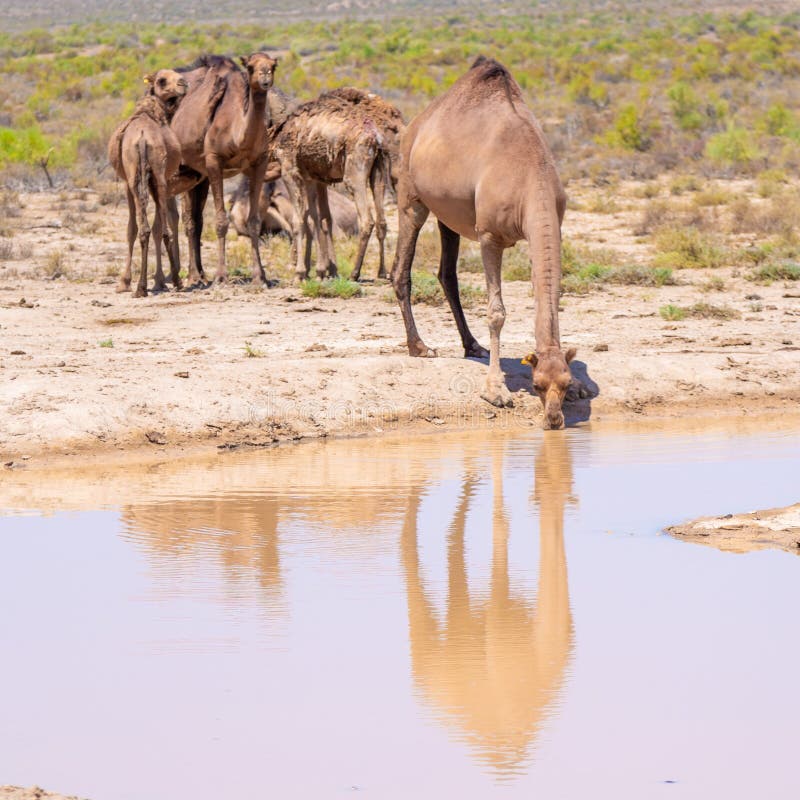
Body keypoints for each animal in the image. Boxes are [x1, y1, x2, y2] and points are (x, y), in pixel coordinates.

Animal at [108, 69, 188, 297]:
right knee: (159, 229)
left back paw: (142, 286)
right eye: (162, 80)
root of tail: (143, 139)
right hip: (155, 180)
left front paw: (125, 282)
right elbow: (157, 225)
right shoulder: (159, 181)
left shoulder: (130, 183)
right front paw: (159, 280)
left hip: (140, 180)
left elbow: (133, 228)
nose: (183, 83)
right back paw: (171, 281)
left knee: (145, 228)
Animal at [169, 53, 278, 285]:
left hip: (199, 176)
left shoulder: (259, 163)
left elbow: (254, 221)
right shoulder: (214, 161)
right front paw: (221, 275)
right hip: (183, 167)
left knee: (198, 220)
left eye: (273, 66)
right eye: (251, 66)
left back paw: (201, 274)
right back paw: (193, 276)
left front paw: (260, 276)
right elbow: (220, 221)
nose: (265, 76)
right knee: (189, 220)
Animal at [270, 89, 396, 281]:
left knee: (367, 220)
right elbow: (319, 218)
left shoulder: (290, 170)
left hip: (354, 173)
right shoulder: (313, 178)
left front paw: (301, 272)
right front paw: (321, 270)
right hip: (379, 172)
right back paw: (382, 272)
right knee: (382, 221)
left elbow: (300, 220)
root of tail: (376, 138)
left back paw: (354, 273)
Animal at [391, 56, 576, 428]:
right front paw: (496, 390)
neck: (530, 171)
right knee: (402, 269)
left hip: (448, 213)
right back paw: (420, 347)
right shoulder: (490, 235)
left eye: (566, 383)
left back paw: (472, 345)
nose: (554, 420)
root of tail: (414, 125)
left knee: (447, 274)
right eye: (536, 384)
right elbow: (496, 312)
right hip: (410, 196)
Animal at [401, 433, 574, 774]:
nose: (553, 424)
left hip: (463, 626)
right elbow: (501, 524)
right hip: (432, 641)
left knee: (452, 544)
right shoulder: (497, 619)